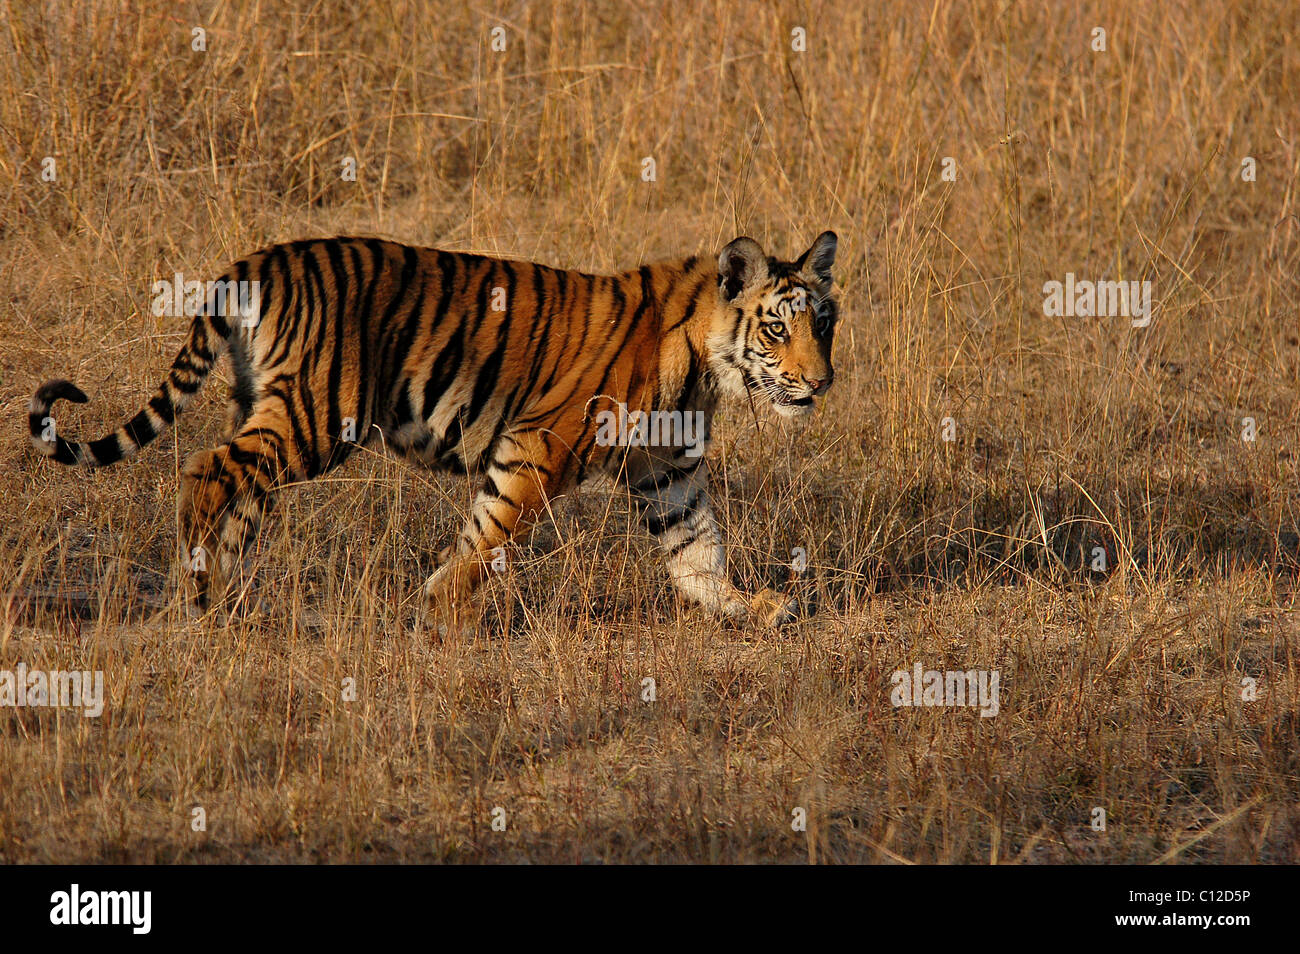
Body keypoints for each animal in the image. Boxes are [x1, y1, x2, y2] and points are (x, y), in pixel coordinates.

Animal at [28, 230, 840, 628]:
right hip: (317, 417)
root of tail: (255, 260)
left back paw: (231, 602)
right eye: (778, 327)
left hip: (272, 411)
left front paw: (752, 608)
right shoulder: (537, 446)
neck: (708, 363)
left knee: (241, 492)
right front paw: (438, 609)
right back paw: (200, 598)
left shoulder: (668, 471)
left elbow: (698, 551)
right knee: (205, 469)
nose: (821, 383)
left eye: (824, 323)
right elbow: (489, 537)